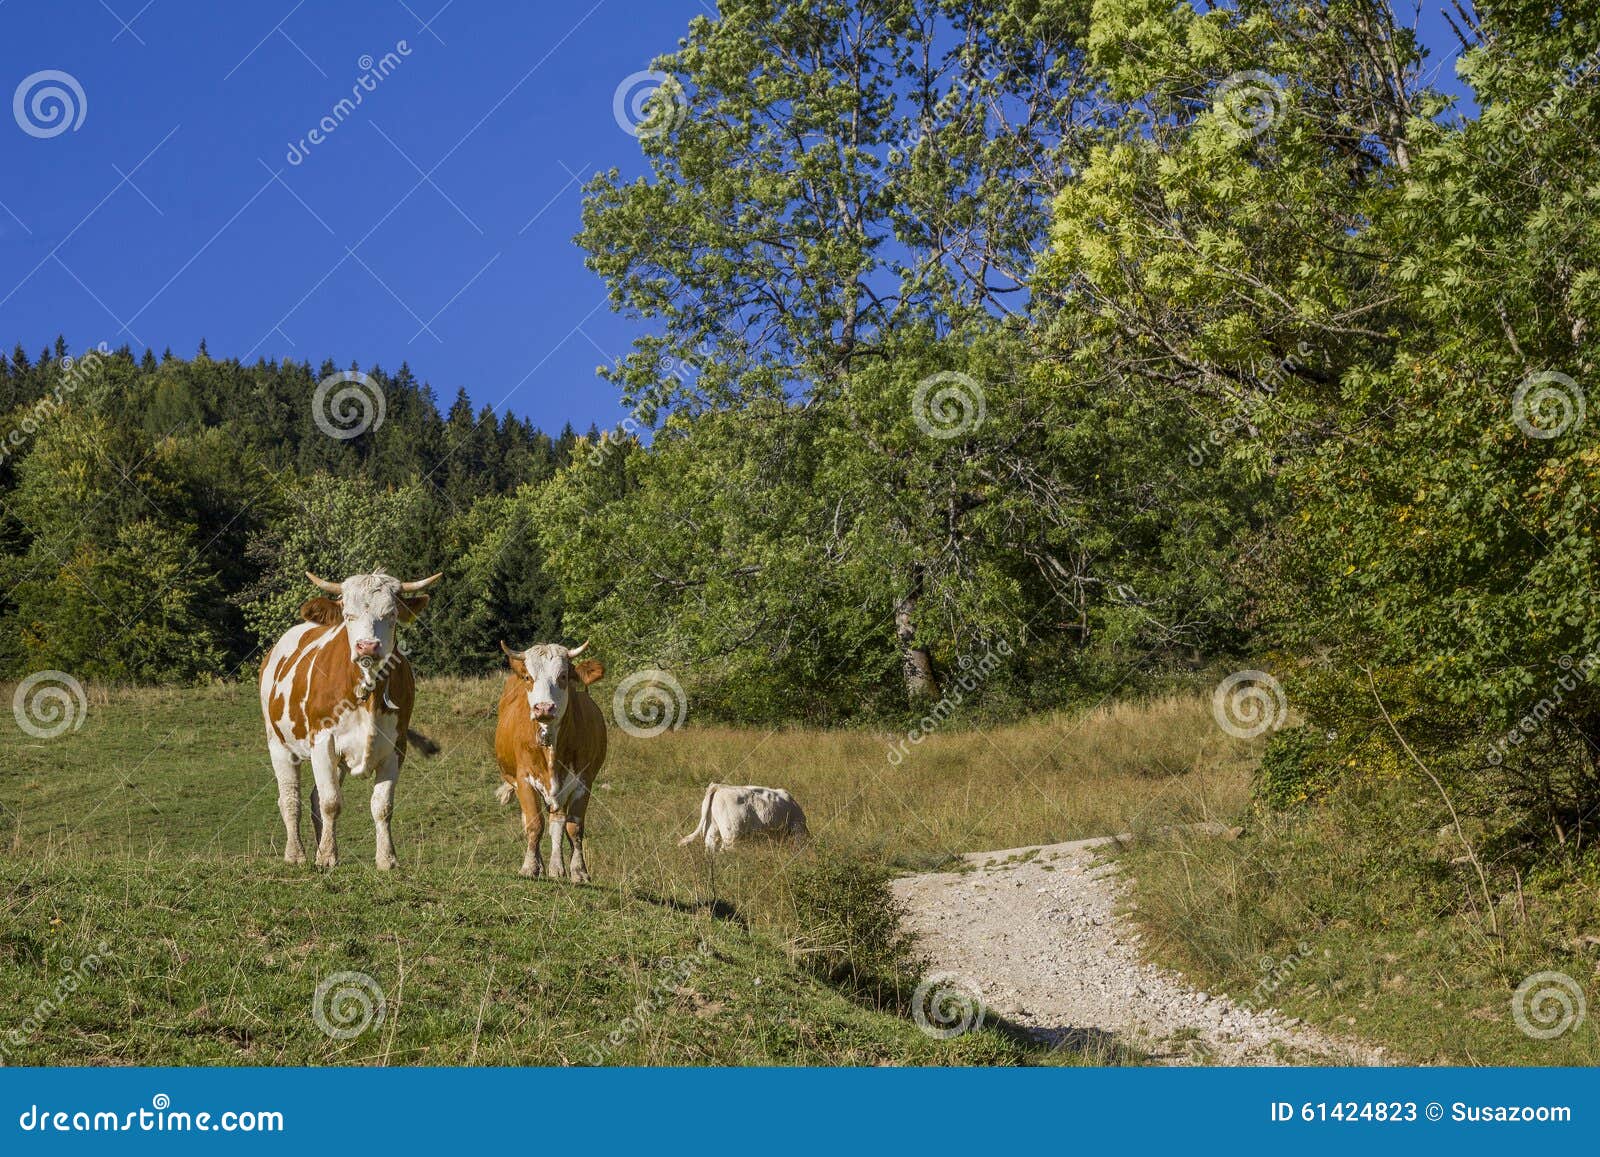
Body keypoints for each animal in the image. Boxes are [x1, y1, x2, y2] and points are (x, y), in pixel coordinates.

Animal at [259, 569, 441, 870]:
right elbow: (331, 802)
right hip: (279, 744)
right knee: (290, 799)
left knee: (314, 798)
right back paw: (296, 854)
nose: (367, 645)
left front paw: (386, 858)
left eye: (391, 613)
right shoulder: (322, 741)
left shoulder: (396, 745)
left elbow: (382, 806)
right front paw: (326, 857)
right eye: (348, 615)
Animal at [495, 639, 607, 880]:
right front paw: (530, 867)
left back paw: (556, 867)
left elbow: (574, 827)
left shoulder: (584, 781)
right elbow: (534, 824)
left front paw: (579, 871)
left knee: (557, 822)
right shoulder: (524, 780)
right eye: (529, 677)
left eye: (563, 676)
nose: (544, 708)